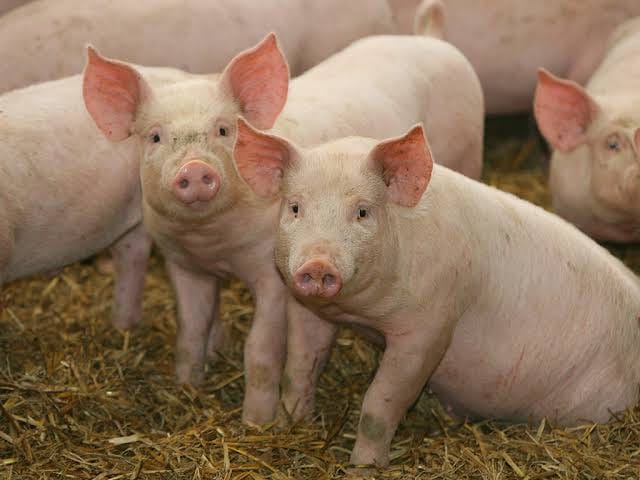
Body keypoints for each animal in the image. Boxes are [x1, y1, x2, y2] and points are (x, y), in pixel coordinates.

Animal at [82, 32, 483, 425]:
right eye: (154, 137)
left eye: (224, 129)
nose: (195, 169)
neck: (213, 241)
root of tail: (432, 40)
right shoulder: (183, 264)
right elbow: (190, 330)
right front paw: (187, 387)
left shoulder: (273, 274)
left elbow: (260, 349)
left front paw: (256, 423)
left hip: (468, 153)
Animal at [235, 120, 640, 466]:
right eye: (295, 207)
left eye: (363, 212)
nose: (318, 264)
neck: (361, 313)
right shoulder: (307, 308)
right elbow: (300, 369)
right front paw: (288, 426)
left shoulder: (429, 326)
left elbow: (380, 403)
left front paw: (363, 467)